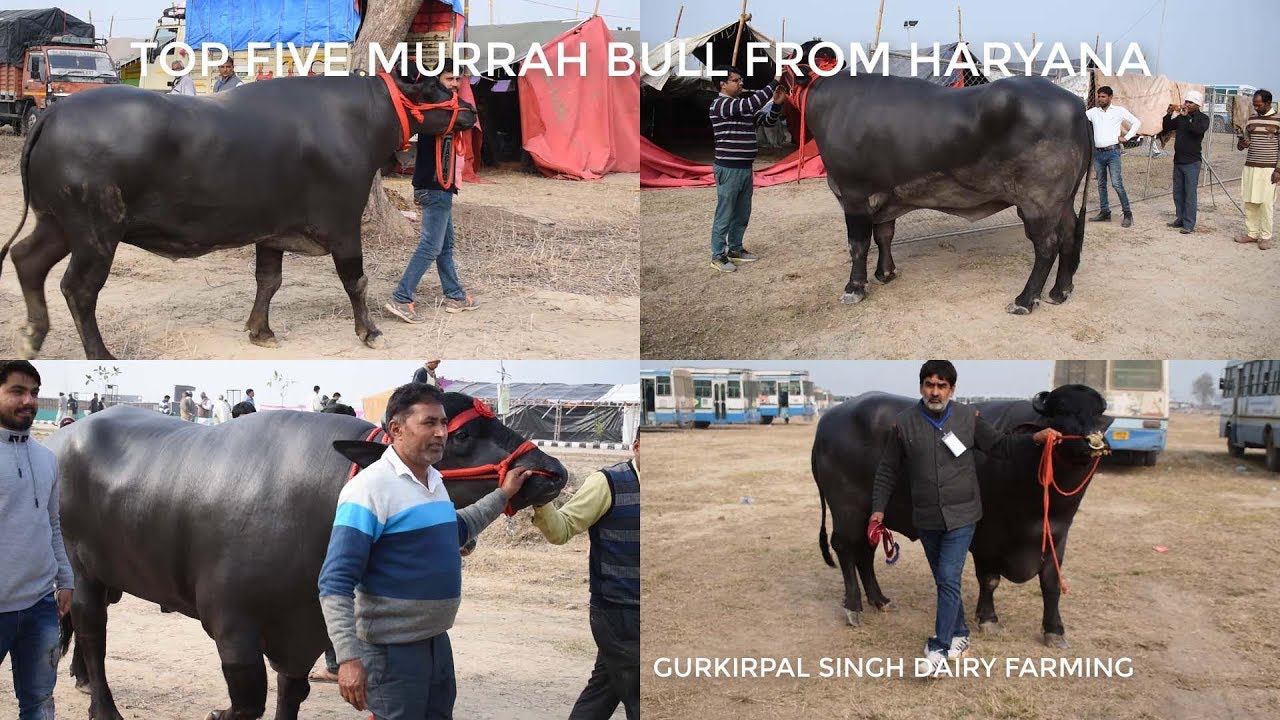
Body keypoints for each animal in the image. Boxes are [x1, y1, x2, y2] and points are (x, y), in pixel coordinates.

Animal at [0, 73, 477, 360]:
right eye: (436, 88)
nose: (471, 112)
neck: (358, 120)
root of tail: (54, 112)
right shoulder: (344, 226)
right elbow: (355, 282)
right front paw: (370, 331)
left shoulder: (270, 232)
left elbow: (269, 281)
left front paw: (260, 330)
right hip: (96, 231)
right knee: (78, 289)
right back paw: (99, 353)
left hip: (57, 224)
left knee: (27, 259)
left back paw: (32, 335)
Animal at [45, 393, 567, 720]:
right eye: (457, 437)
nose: (551, 471)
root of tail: (61, 441)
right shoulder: (231, 626)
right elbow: (248, 701)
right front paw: (216, 712)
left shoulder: (306, 628)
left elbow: (290, 694)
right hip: (79, 567)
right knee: (91, 631)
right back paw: (104, 706)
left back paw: (80, 679)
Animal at [791, 51, 1092, 314]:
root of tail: (1077, 105)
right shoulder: (885, 194)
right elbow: (884, 234)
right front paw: (885, 272)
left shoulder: (853, 194)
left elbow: (858, 244)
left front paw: (854, 287)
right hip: (1063, 200)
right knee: (1069, 235)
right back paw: (1060, 291)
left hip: (1038, 202)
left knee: (1047, 246)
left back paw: (1025, 300)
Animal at [811, 385, 1112, 648]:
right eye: (1060, 411)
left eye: (1096, 413)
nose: (1091, 442)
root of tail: (827, 423)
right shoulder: (987, 536)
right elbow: (989, 580)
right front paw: (989, 619)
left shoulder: (1056, 536)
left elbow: (1051, 583)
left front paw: (1055, 631)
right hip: (847, 510)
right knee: (845, 548)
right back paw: (853, 608)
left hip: (873, 515)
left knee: (866, 551)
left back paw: (880, 600)